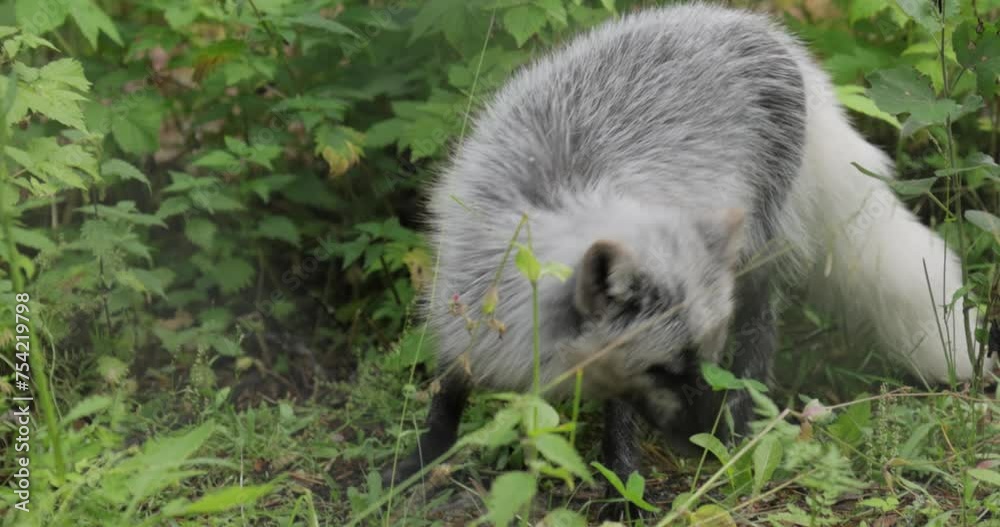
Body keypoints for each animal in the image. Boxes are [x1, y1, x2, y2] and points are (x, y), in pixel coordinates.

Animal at [386, 3, 998, 518]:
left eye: (700, 356)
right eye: (661, 368)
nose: (699, 446)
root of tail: (767, 33)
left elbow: (618, 423)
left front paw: (624, 491)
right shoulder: (462, 299)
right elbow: (450, 385)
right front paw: (419, 462)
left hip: (756, 248)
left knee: (760, 331)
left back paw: (741, 431)